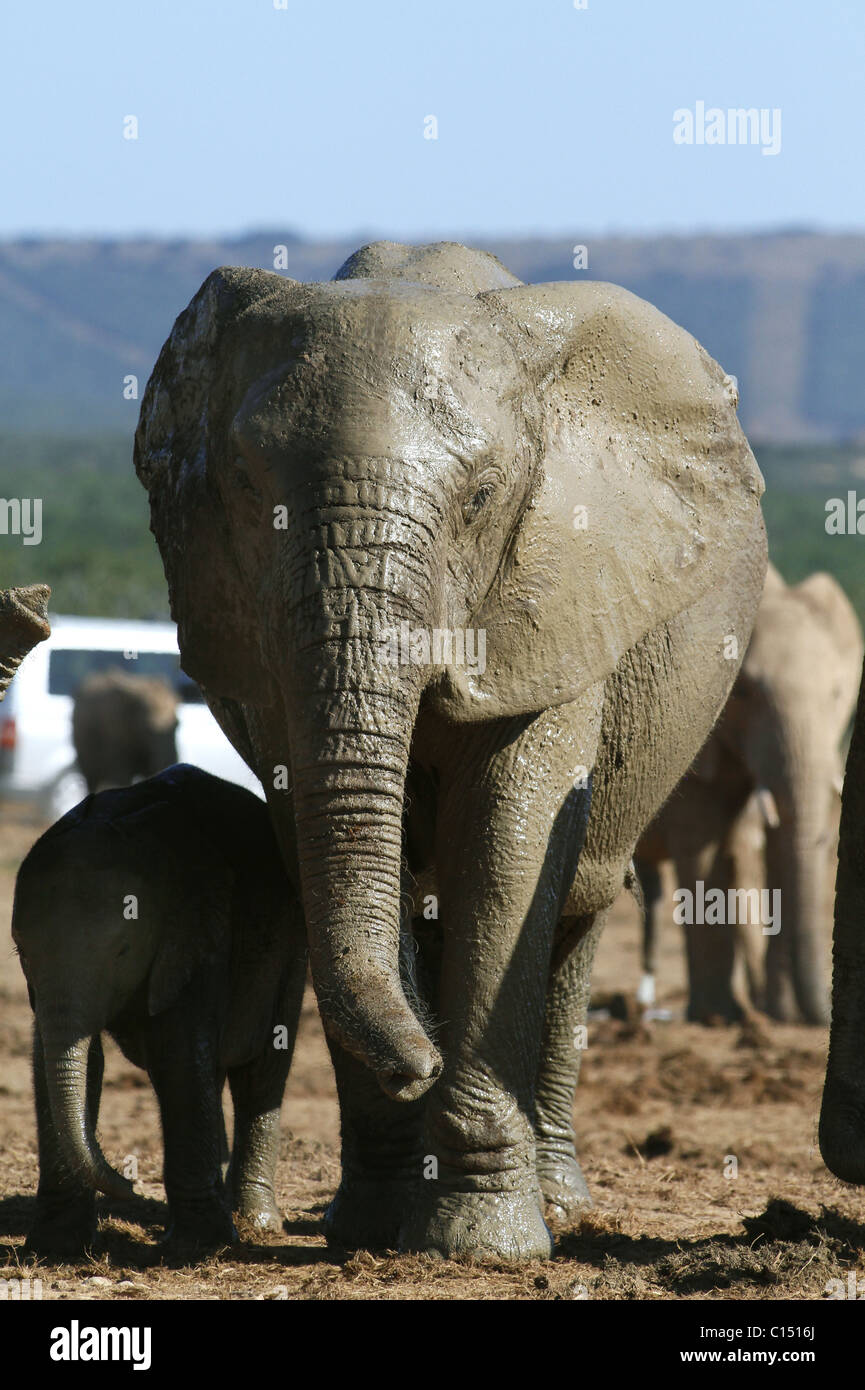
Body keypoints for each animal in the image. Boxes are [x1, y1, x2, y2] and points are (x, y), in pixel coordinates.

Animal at [12, 763, 307, 1257]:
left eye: (122, 952)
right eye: (21, 955)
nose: (129, 1183)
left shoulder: (196, 934)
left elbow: (180, 1054)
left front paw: (195, 1248)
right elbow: (68, 1061)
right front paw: (56, 1246)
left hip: (290, 948)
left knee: (260, 1068)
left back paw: (255, 1222)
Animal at [134, 239, 766, 1260]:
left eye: (480, 499)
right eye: (245, 488)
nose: (417, 1063)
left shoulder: (560, 590)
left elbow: (507, 848)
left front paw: (481, 1245)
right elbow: (319, 835)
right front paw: (375, 1226)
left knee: (579, 902)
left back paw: (560, 1205)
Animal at [636, 563, 862, 1025]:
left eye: (836, 695)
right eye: (743, 693)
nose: (822, 1016)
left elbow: (778, 847)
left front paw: (779, 1015)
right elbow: (701, 847)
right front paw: (716, 1018)